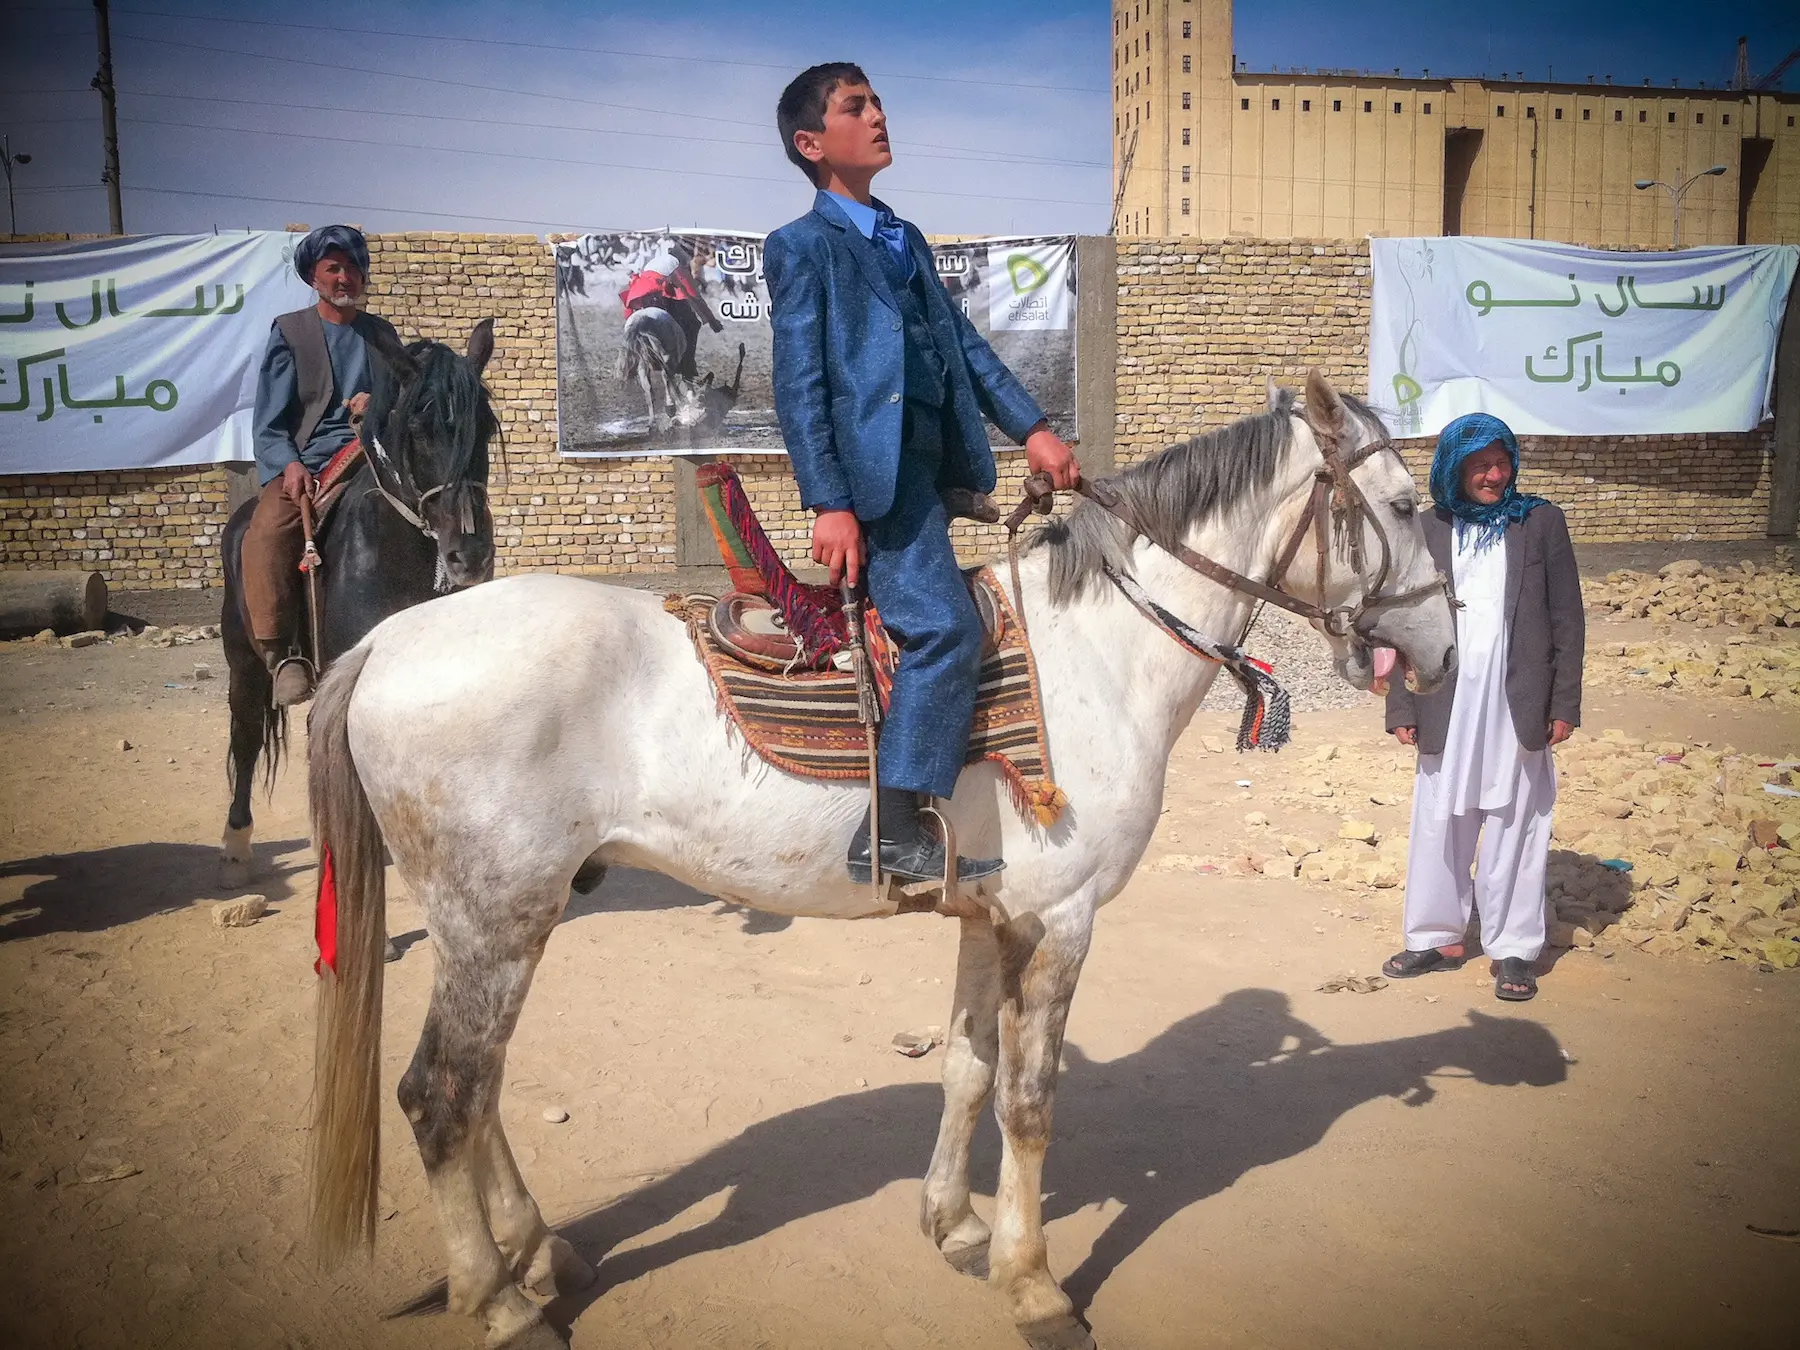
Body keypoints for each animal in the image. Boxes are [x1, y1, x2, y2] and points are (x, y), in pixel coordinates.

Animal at [217, 319, 500, 889]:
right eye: (418, 428)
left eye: (486, 428)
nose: (470, 555)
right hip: (244, 662)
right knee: (247, 735)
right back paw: (236, 849)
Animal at [302, 371, 1458, 1350]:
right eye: (1407, 507)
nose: (1444, 654)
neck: (1098, 654)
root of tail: (386, 644)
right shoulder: (1063, 921)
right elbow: (1030, 1103)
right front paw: (1036, 1285)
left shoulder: (994, 916)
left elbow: (967, 1069)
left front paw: (954, 1225)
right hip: (493, 917)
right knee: (440, 1096)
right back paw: (499, 1302)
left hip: (503, 919)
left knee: (482, 1085)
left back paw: (540, 1251)